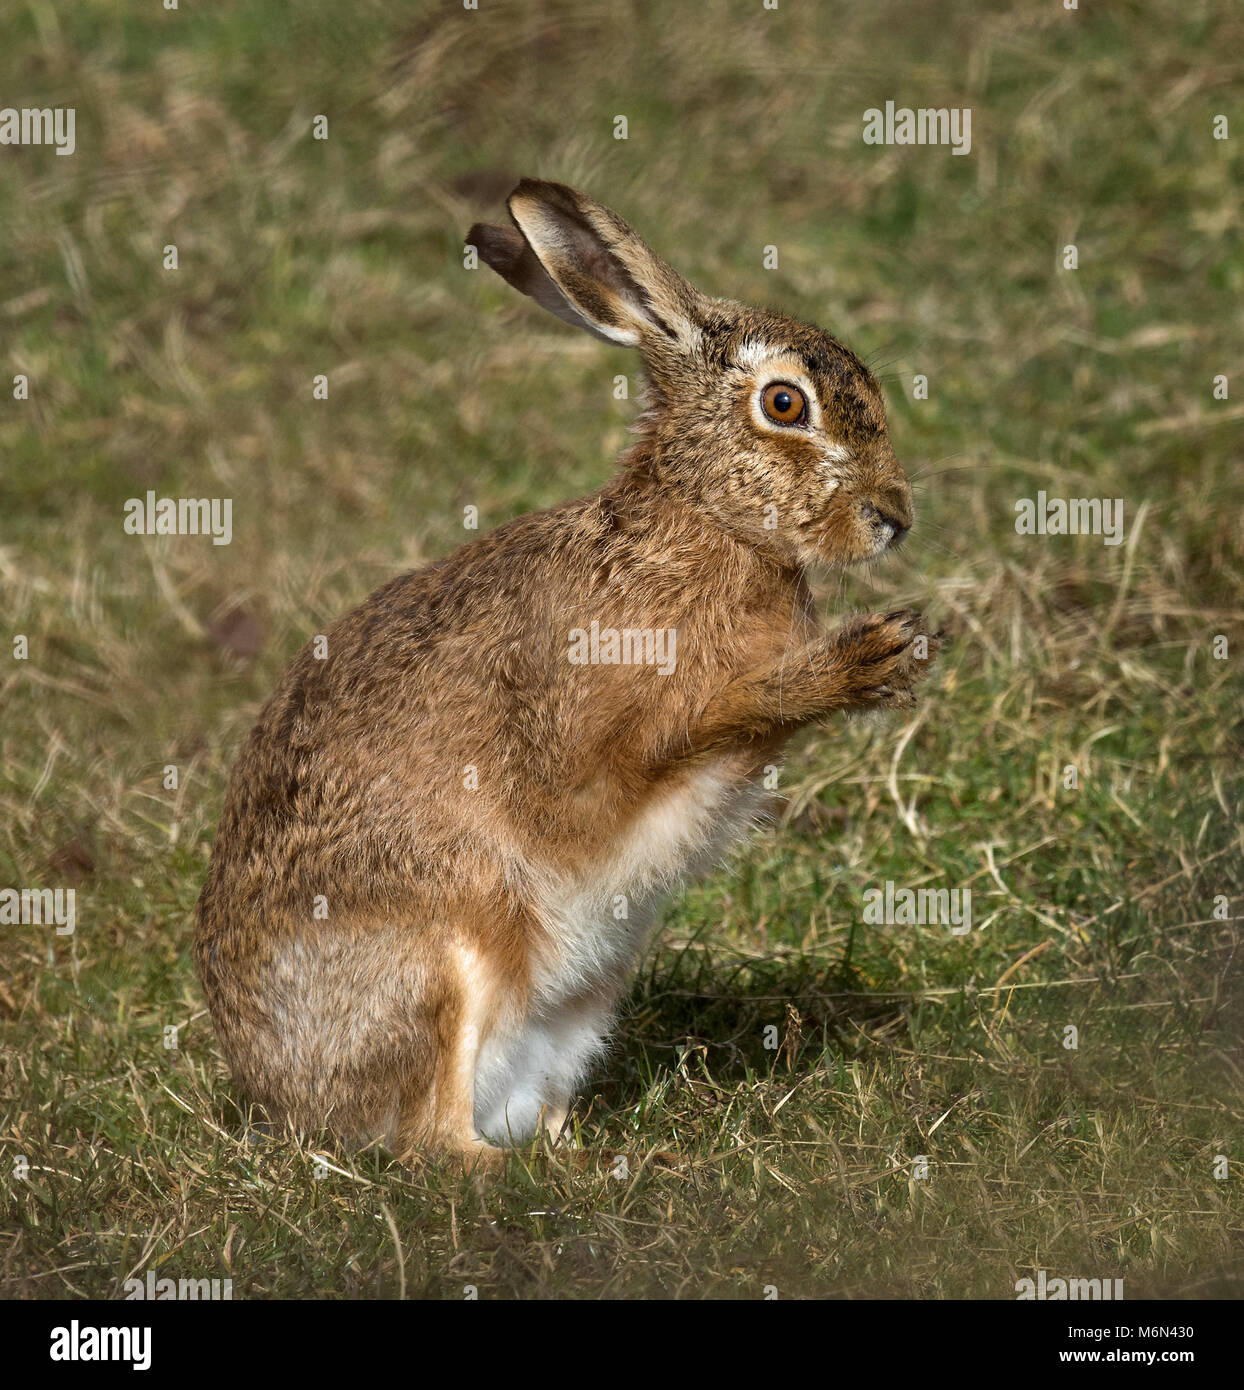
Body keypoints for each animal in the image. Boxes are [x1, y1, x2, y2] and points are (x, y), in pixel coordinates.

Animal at [193, 178, 939, 1170]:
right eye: (786, 404)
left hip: (584, 1003)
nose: (894, 517)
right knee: (435, 1144)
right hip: (438, 957)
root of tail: (282, 1101)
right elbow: (691, 729)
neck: (708, 522)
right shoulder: (586, 749)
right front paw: (865, 659)